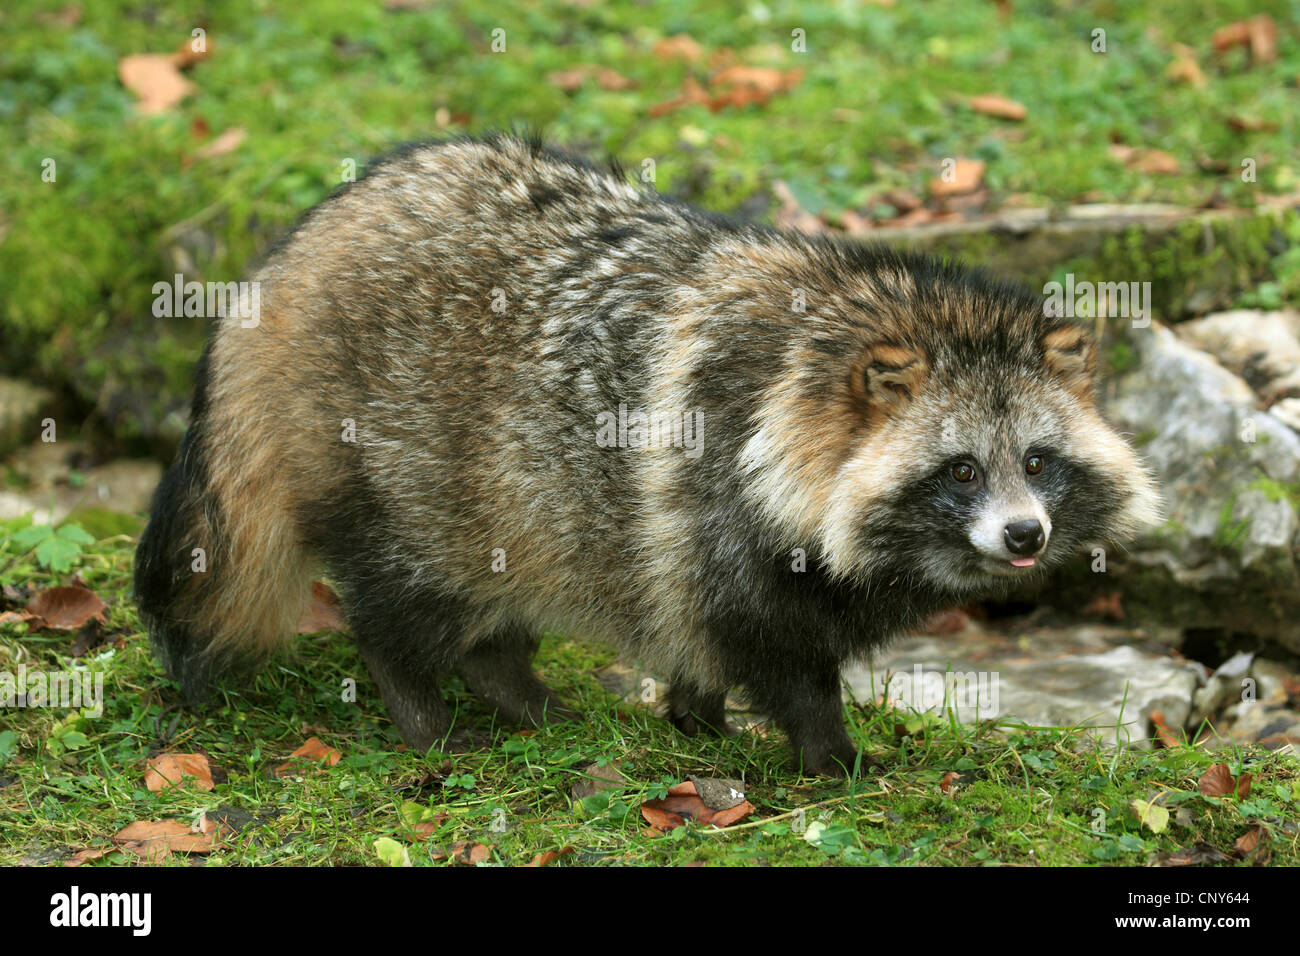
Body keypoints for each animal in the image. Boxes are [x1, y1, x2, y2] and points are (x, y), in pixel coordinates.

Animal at [134, 134, 1159, 777]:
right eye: (961, 470)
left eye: (1038, 462)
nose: (1025, 537)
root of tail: (287, 259)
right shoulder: (714, 503)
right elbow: (774, 652)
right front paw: (829, 754)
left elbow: (695, 633)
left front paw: (696, 721)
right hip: (396, 467)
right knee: (401, 603)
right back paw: (421, 704)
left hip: (510, 502)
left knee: (494, 598)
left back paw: (515, 690)